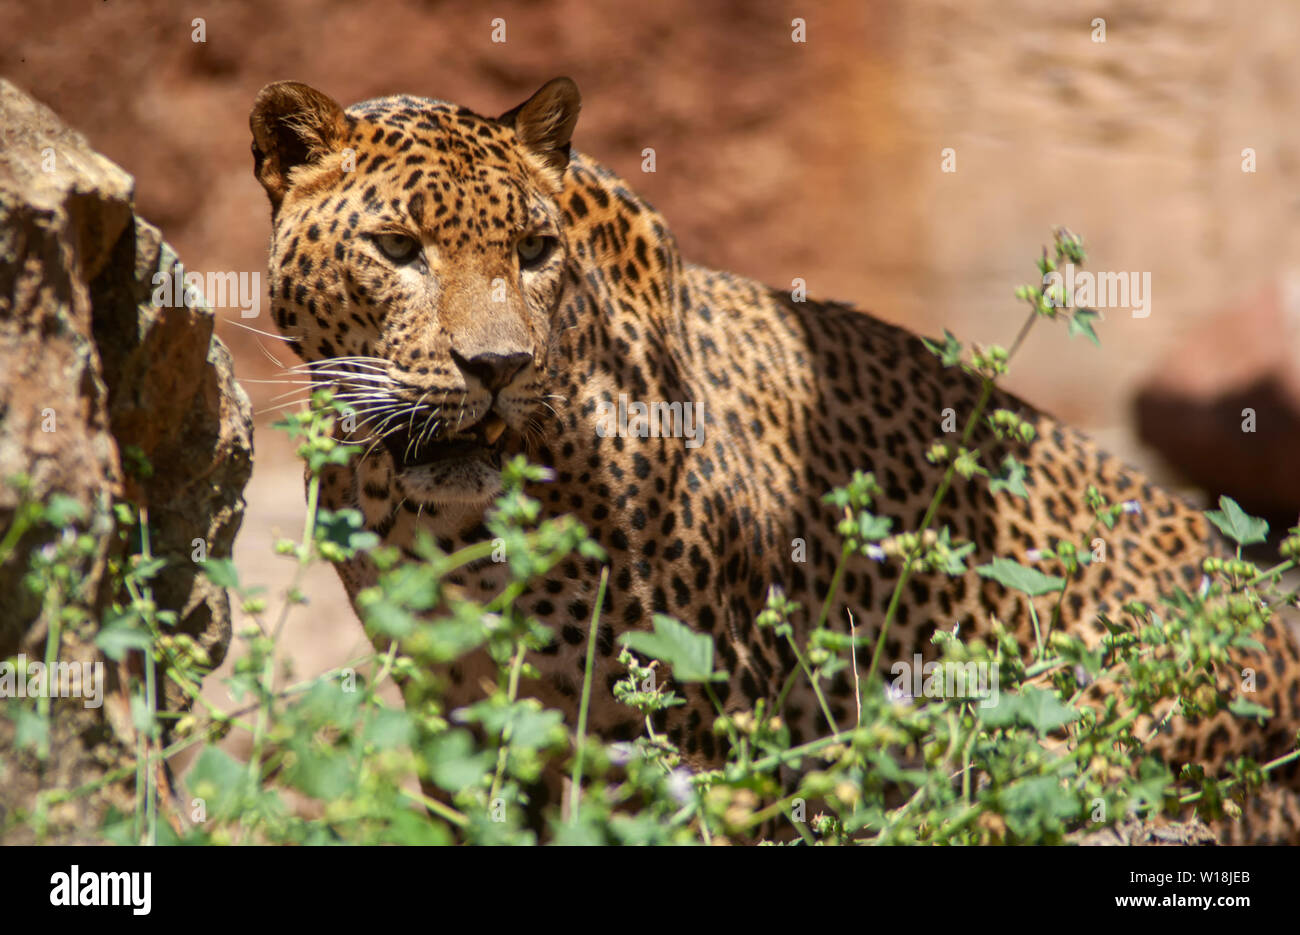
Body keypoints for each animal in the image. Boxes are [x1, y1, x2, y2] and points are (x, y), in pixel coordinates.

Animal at [249, 77, 1300, 843]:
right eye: (396, 247)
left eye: (536, 249)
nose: (499, 367)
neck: (450, 523)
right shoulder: (452, 710)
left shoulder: (693, 725)